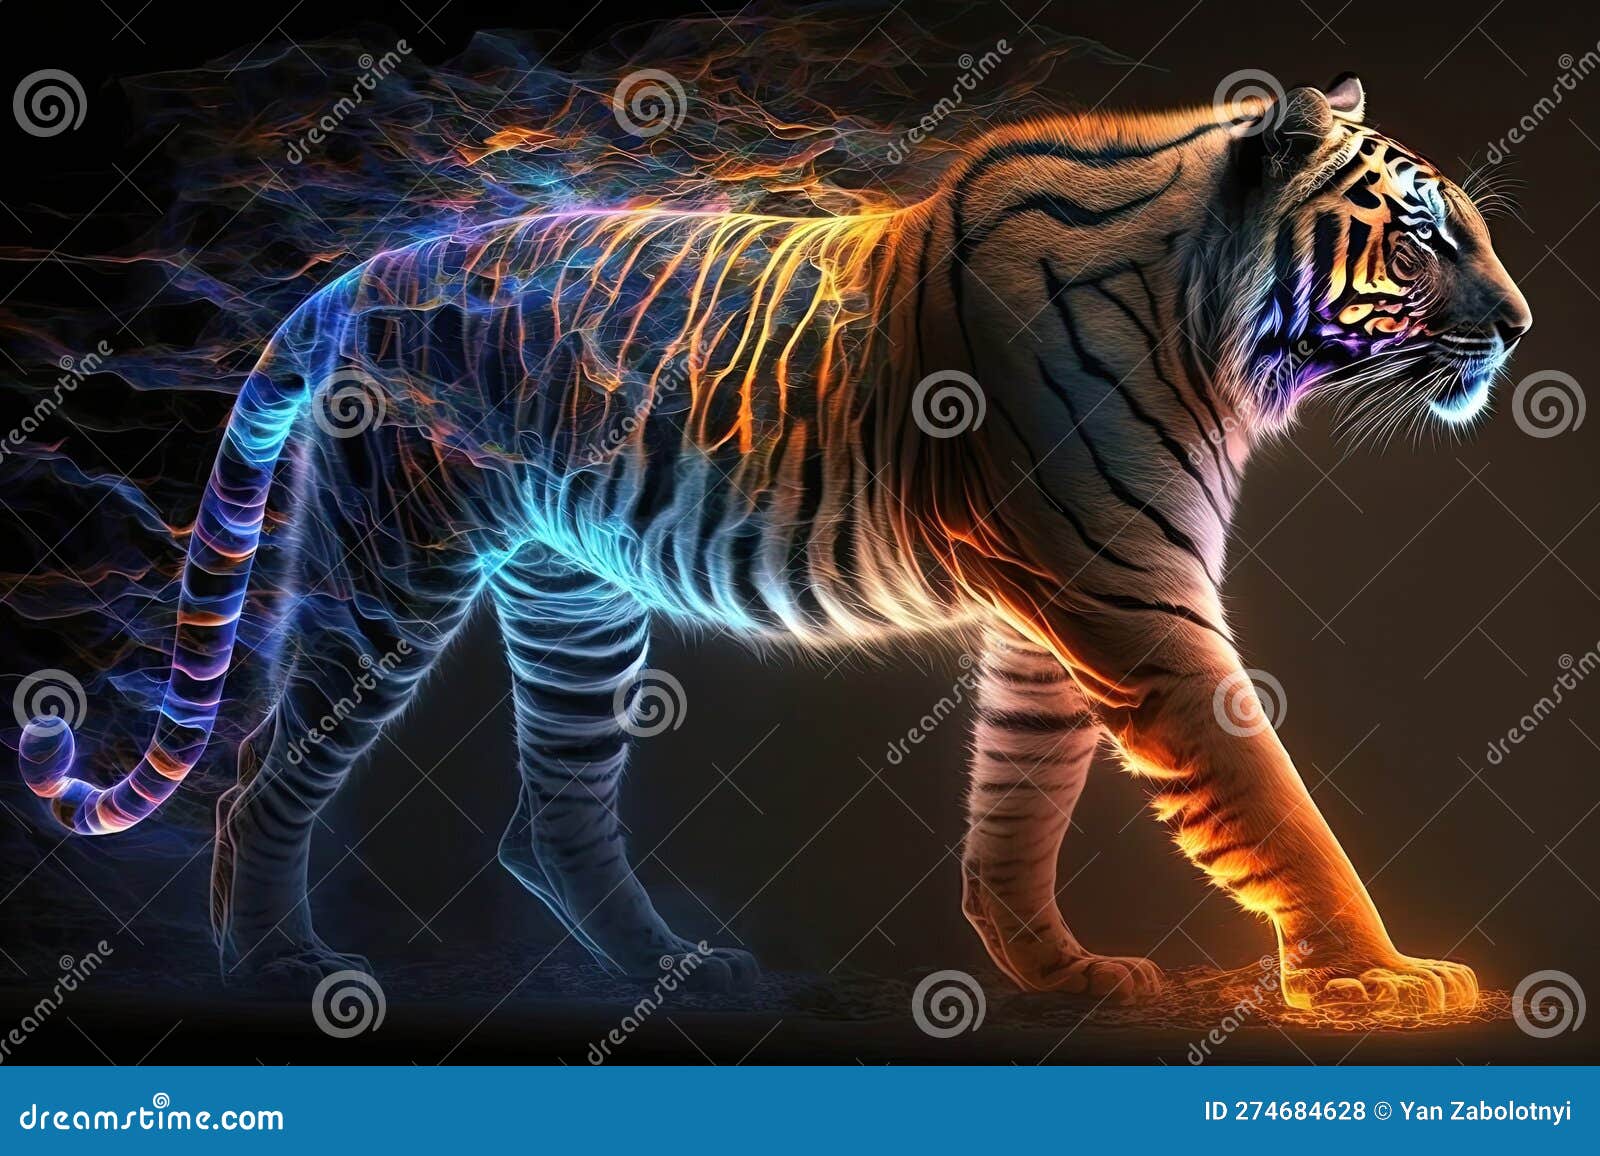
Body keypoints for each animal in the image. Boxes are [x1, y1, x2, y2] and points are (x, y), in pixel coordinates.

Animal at [17, 74, 1529, 1018]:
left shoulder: (1052, 617)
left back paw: (671, 968)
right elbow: (1264, 798)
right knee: (261, 781)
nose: (1520, 328)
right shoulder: (1131, 599)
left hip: (573, 604)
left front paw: (1052, 970)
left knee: (552, 811)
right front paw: (1376, 978)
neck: (1217, 334)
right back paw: (276, 965)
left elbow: (1018, 803)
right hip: (385, 576)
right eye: (1419, 236)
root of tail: (359, 271)